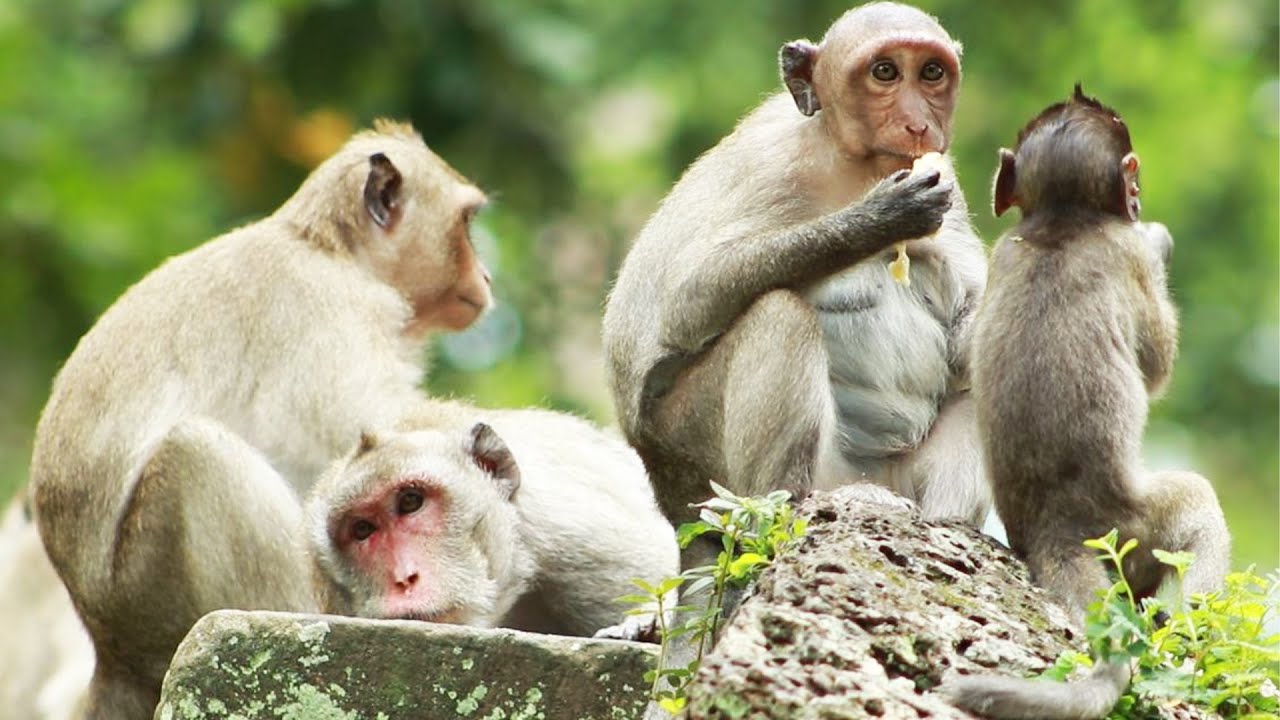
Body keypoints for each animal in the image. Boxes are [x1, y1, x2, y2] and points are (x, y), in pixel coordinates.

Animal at [29, 120, 501, 719]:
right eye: (466, 223)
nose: (486, 275)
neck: (326, 248)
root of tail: (113, 651)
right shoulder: (330, 312)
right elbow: (376, 435)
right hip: (152, 592)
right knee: (196, 454)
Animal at [601, 2, 990, 573]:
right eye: (885, 72)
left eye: (931, 73)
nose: (919, 122)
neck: (849, 161)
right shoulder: (769, 162)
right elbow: (688, 298)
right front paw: (879, 218)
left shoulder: (951, 185)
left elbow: (968, 324)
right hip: (701, 463)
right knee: (778, 315)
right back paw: (785, 509)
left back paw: (949, 535)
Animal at [940, 85, 1231, 720]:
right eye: (1133, 178)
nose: (1138, 200)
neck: (1062, 221)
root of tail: (1057, 525)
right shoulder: (1127, 257)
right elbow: (1157, 364)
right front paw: (1158, 240)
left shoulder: (1002, 252)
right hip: (1135, 528)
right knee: (1199, 506)